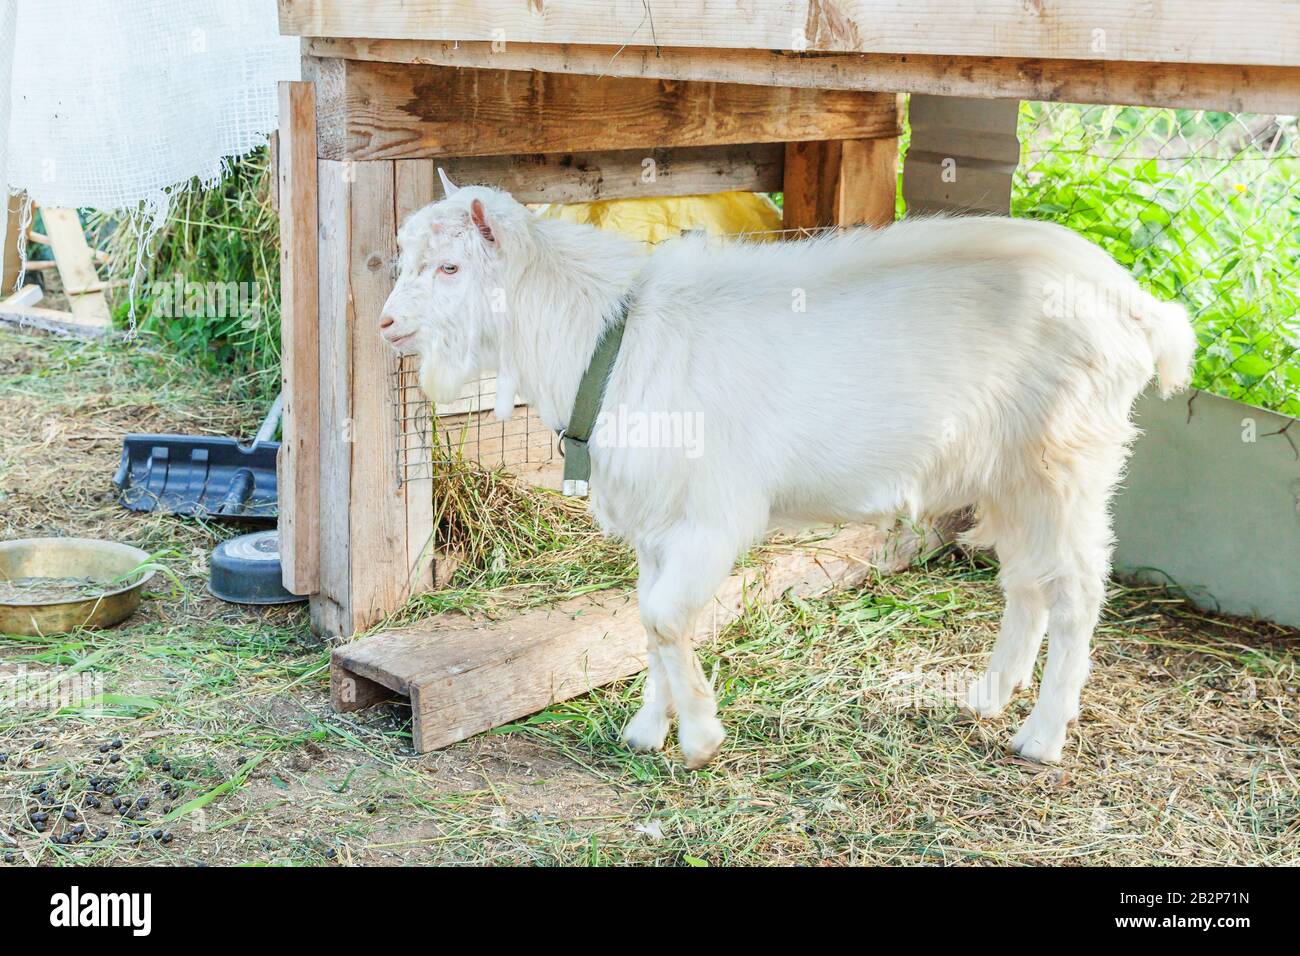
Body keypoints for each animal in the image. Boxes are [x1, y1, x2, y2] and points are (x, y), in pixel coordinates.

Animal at [380, 175, 1196, 769]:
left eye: (450, 267)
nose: (387, 324)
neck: (609, 339)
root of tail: (1139, 309)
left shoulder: (713, 514)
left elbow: (665, 616)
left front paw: (701, 738)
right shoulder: (655, 521)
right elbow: (645, 619)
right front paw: (647, 728)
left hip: (1068, 460)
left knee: (1077, 591)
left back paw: (1042, 737)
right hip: (1012, 472)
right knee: (1027, 580)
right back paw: (990, 696)